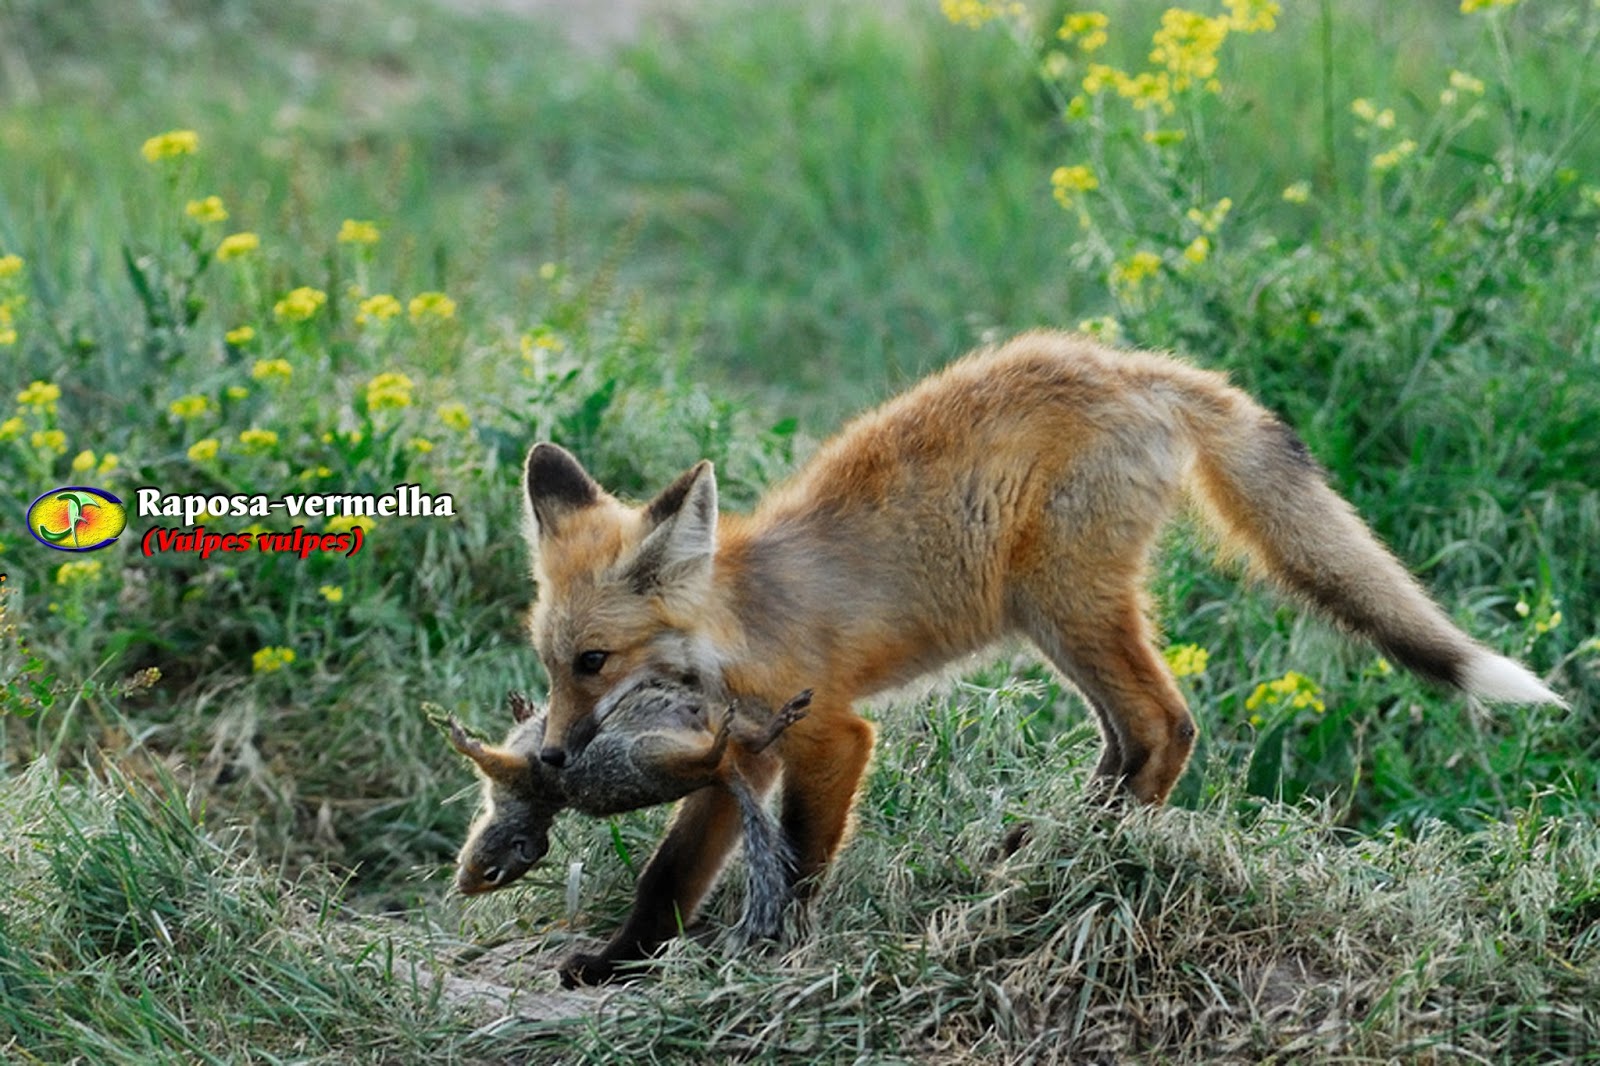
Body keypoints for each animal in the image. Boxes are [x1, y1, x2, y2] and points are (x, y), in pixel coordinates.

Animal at [449, 677, 811, 954]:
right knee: (739, 746)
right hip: (669, 741)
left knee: (723, 752)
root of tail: (722, 776)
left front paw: (471, 737)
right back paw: (753, 734)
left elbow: (492, 759)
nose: (462, 888)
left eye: (491, 874)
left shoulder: (520, 772)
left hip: (655, 746)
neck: (528, 811)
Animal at [520, 330, 1564, 984]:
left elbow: (807, 853)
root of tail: (1134, 367)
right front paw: (618, 964)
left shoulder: (828, 734)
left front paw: (788, 948)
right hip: (1049, 618)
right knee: (1127, 738)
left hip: (1065, 602)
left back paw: (1083, 857)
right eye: (549, 662)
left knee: (1166, 726)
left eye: (594, 661)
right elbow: (667, 876)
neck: (732, 634)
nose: (555, 757)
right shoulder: (737, 753)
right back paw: (1052, 847)